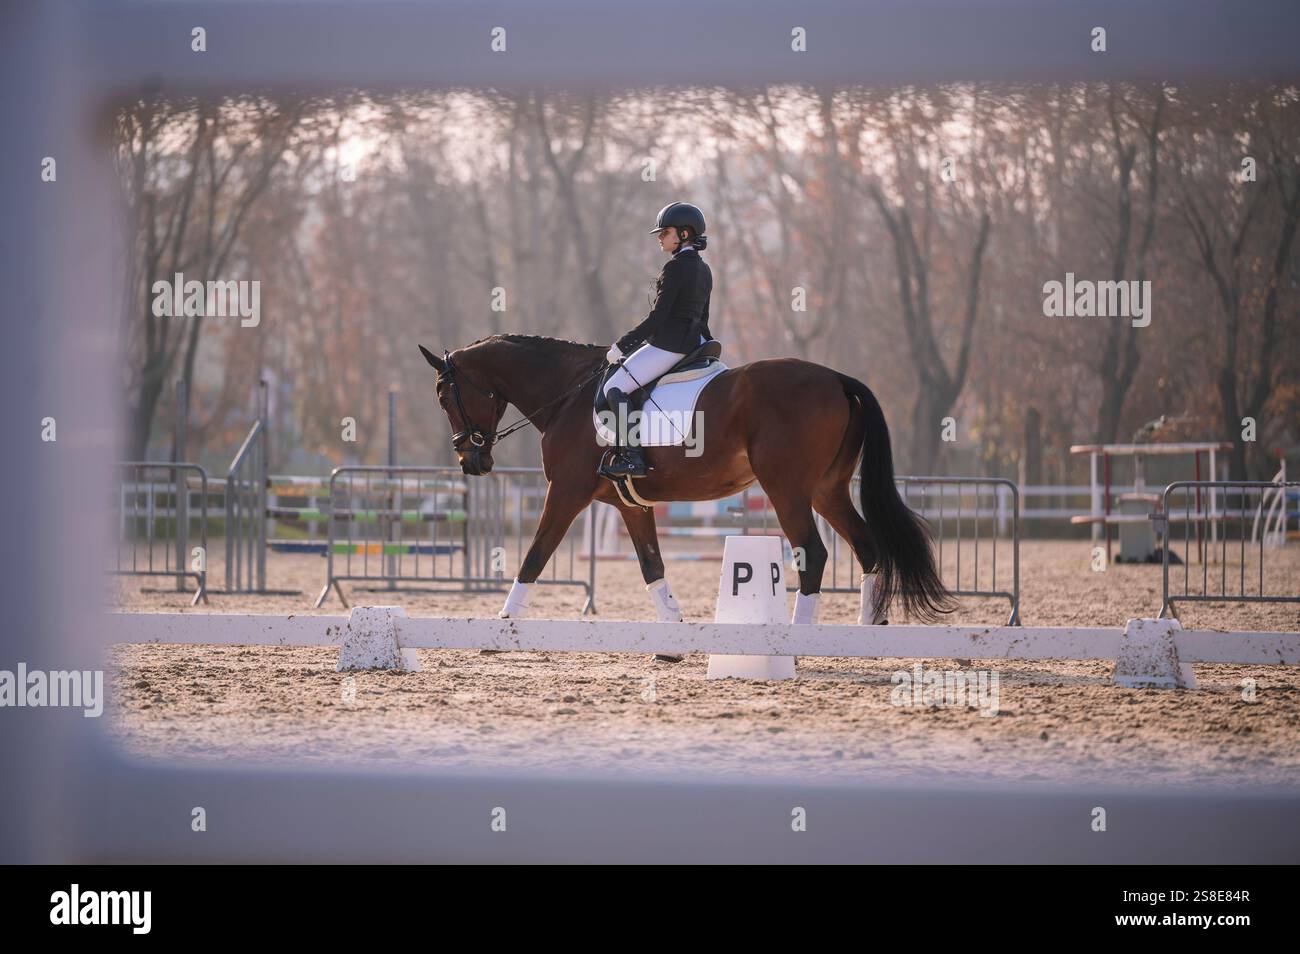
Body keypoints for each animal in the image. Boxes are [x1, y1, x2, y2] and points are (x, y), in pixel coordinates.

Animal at [417, 334, 951, 630]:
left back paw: (803, 635)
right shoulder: (630, 505)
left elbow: (535, 554)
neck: (568, 395)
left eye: (445, 394)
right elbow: (651, 565)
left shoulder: (565, 493)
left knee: (814, 554)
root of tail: (838, 378)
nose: (471, 460)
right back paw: (868, 626)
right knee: (867, 547)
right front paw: (673, 628)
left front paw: (505, 618)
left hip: (787, 491)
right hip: (826, 491)